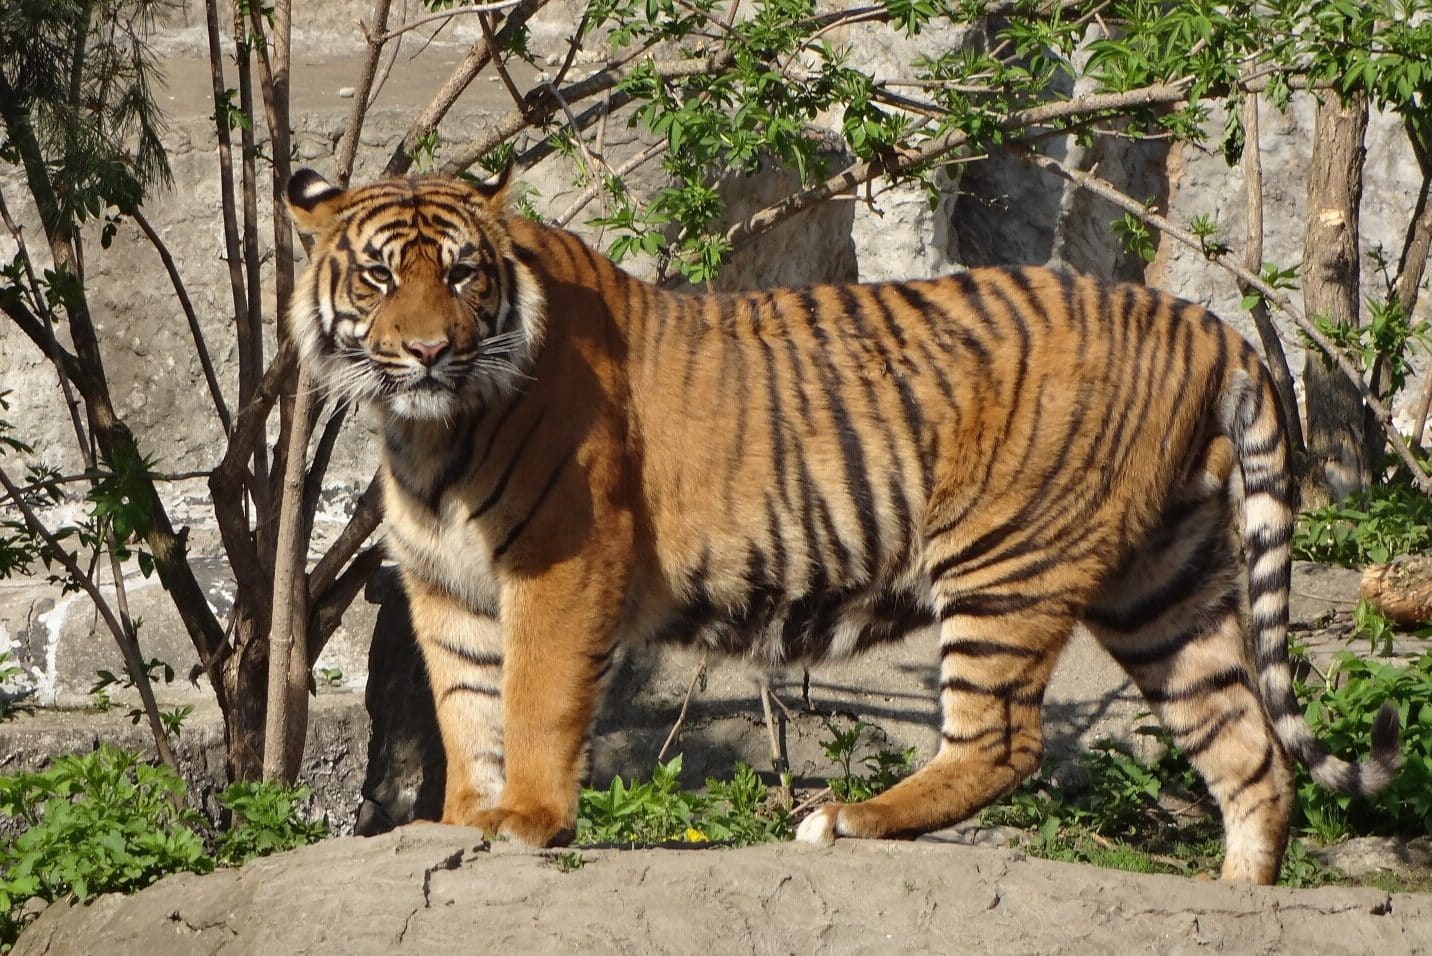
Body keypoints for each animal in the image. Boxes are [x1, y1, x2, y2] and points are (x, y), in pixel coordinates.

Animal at [285, 166, 1401, 884]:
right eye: (379, 278)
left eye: (462, 274)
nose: (428, 352)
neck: (427, 429)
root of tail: (1207, 322)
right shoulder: (447, 586)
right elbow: (465, 708)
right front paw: (460, 825)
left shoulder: (562, 565)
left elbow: (532, 700)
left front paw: (523, 822)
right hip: (1164, 580)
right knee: (1246, 743)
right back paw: (1239, 894)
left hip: (1006, 557)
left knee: (1004, 740)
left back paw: (845, 818)